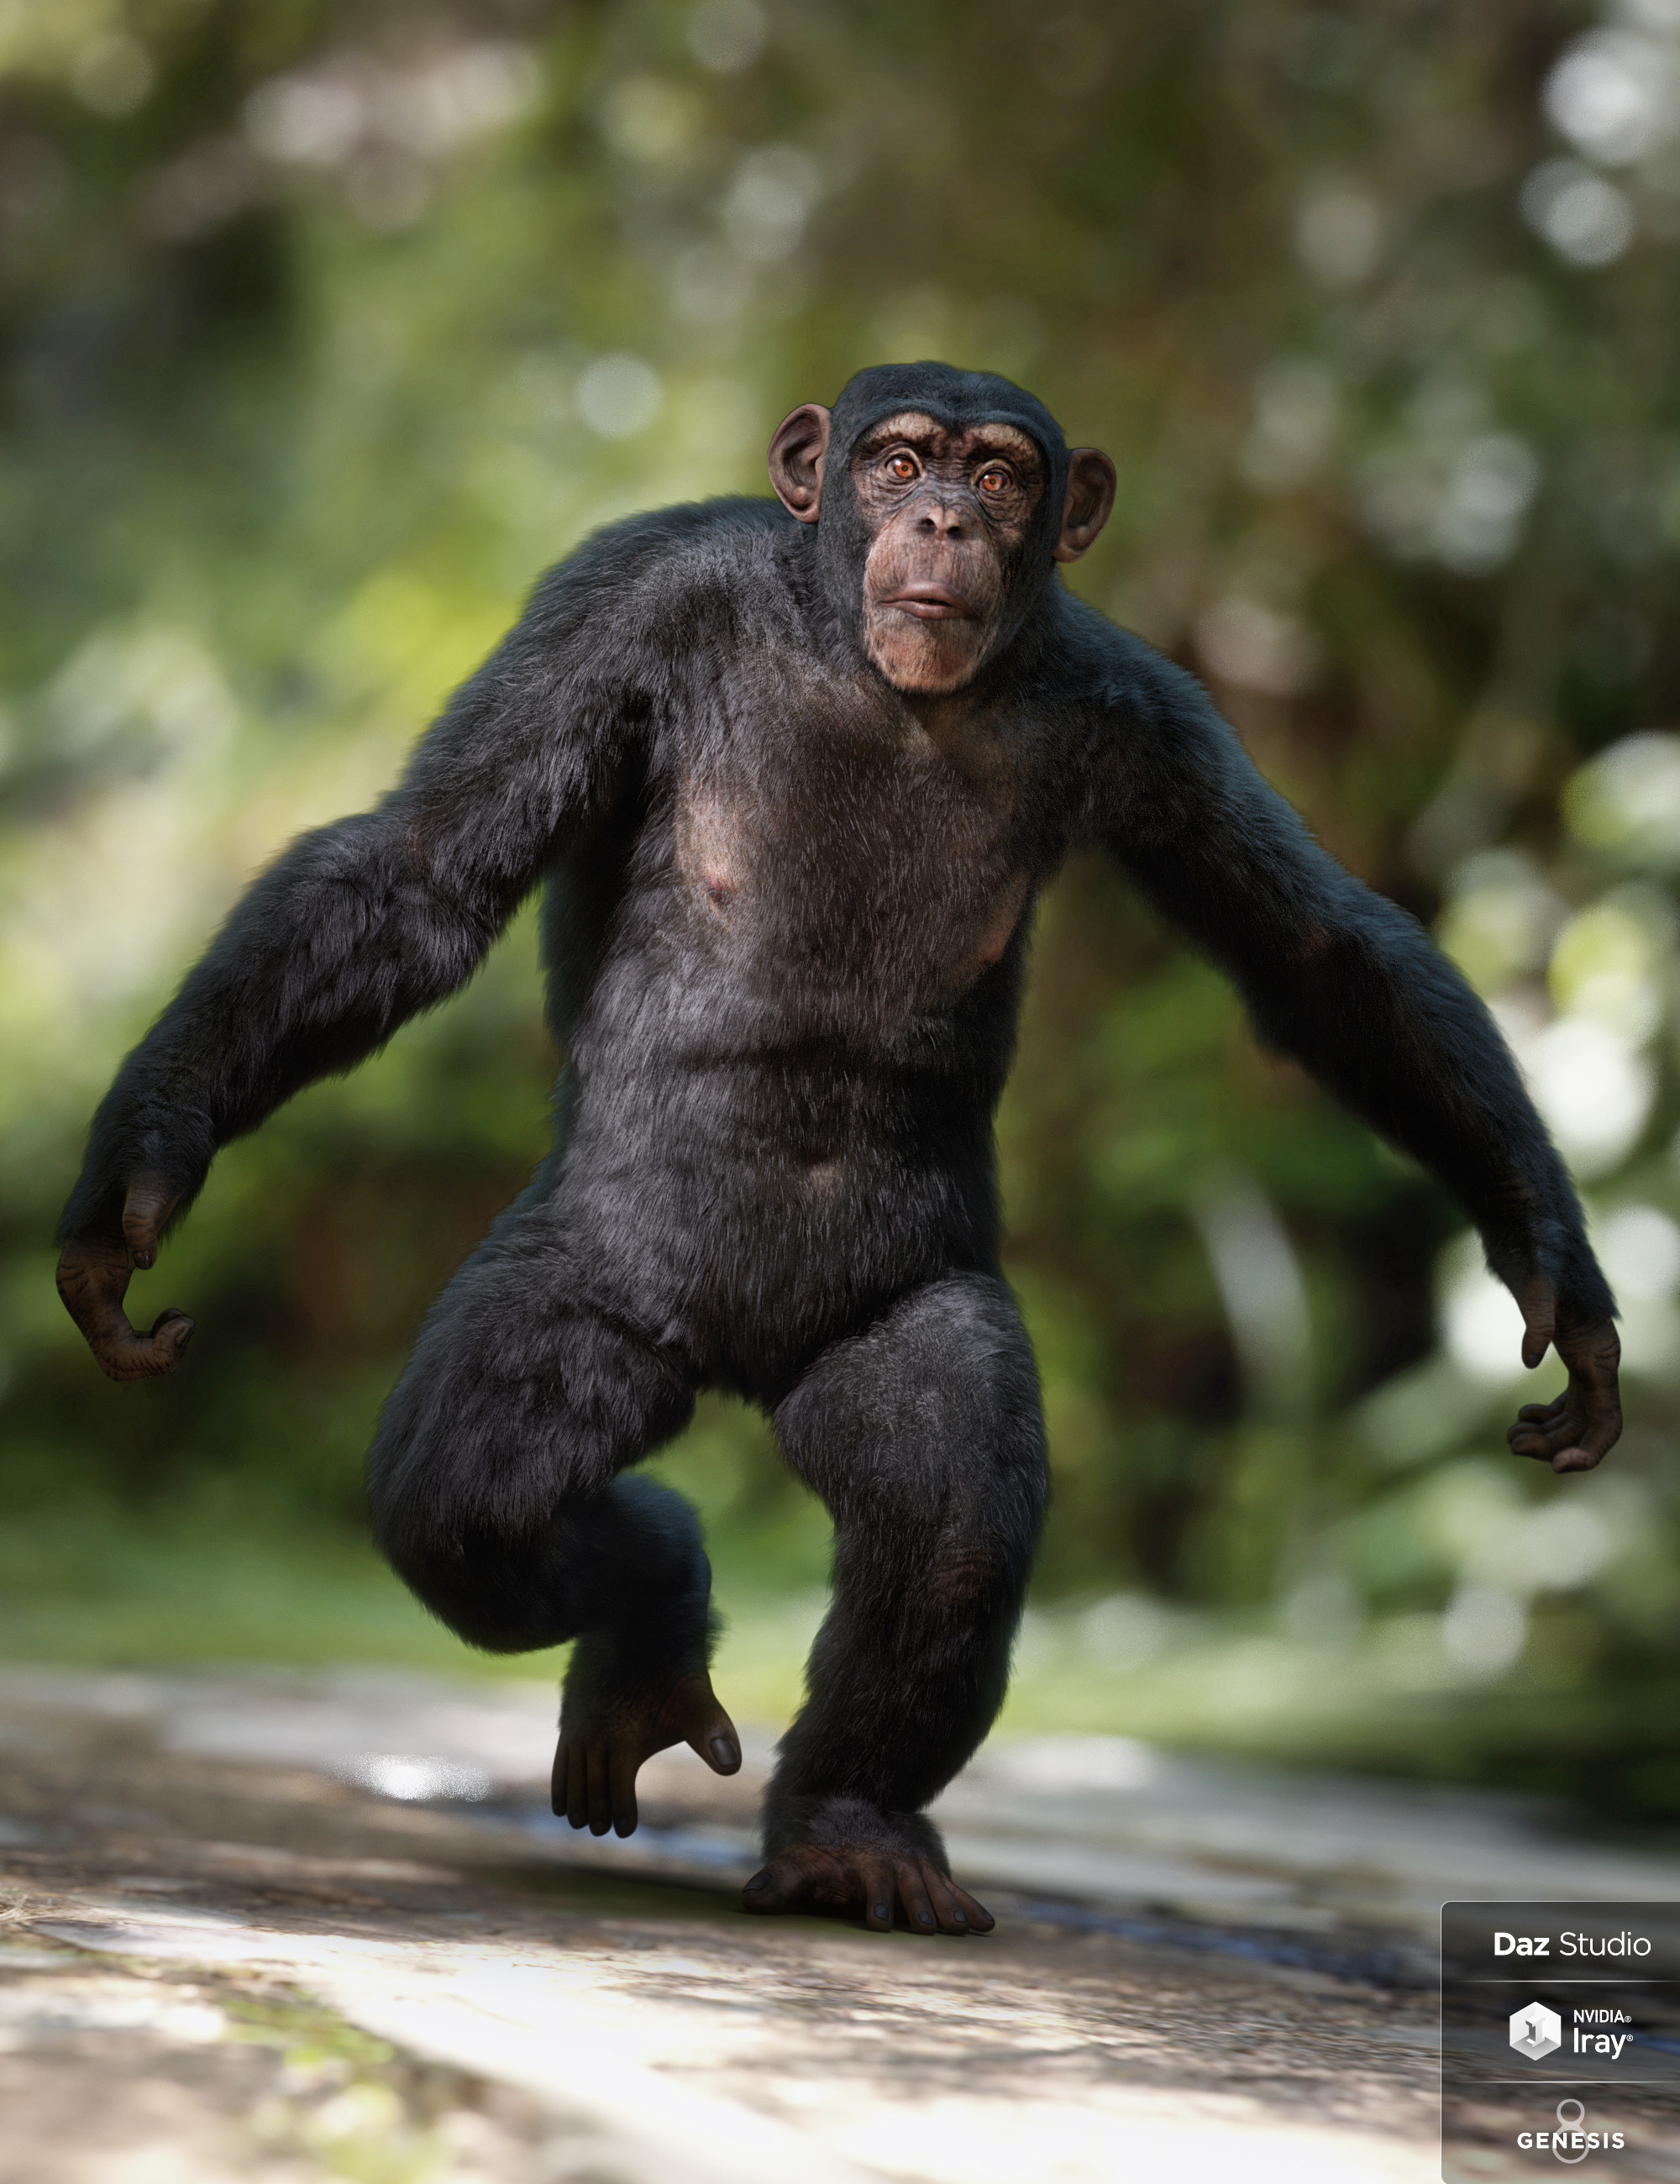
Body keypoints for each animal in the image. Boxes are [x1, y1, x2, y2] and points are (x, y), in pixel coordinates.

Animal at [55, 362, 1623, 1937]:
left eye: (999, 476)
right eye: (899, 461)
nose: (942, 519)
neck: (861, 671)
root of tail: (737, 1369)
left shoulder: (1150, 716)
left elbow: (1316, 953)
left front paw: (1558, 1269)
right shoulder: (621, 605)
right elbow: (417, 878)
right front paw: (140, 1169)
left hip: (898, 1316)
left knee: (944, 1531)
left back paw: (847, 1829)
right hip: (589, 1291)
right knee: (473, 1501)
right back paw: (651, 1617)